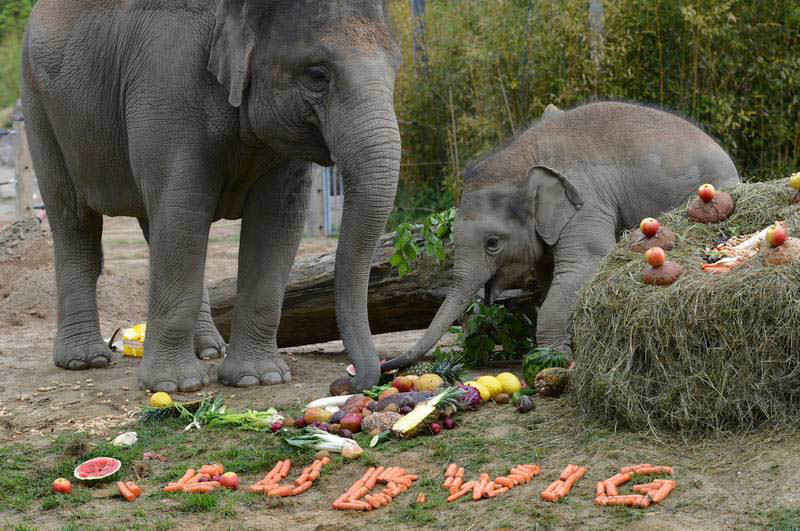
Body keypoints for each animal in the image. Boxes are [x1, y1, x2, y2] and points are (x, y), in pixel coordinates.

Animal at [21, 0, 401, 392]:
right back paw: (85, 360)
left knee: (154, 224)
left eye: (397, 68)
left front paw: (258, 379)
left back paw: (208, 350)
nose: (345, 382)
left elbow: (276, 220)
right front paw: (175, 387)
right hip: (38, 105)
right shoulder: (167, 82)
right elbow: (183, 208)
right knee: (75, 222)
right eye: (316, 75)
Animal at [381, 102, 740, 372]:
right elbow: (551, 276)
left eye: (493, 244)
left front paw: (552, 357)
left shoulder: (586, 203)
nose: (387, 367)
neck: (525, 156)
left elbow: (583, 266)